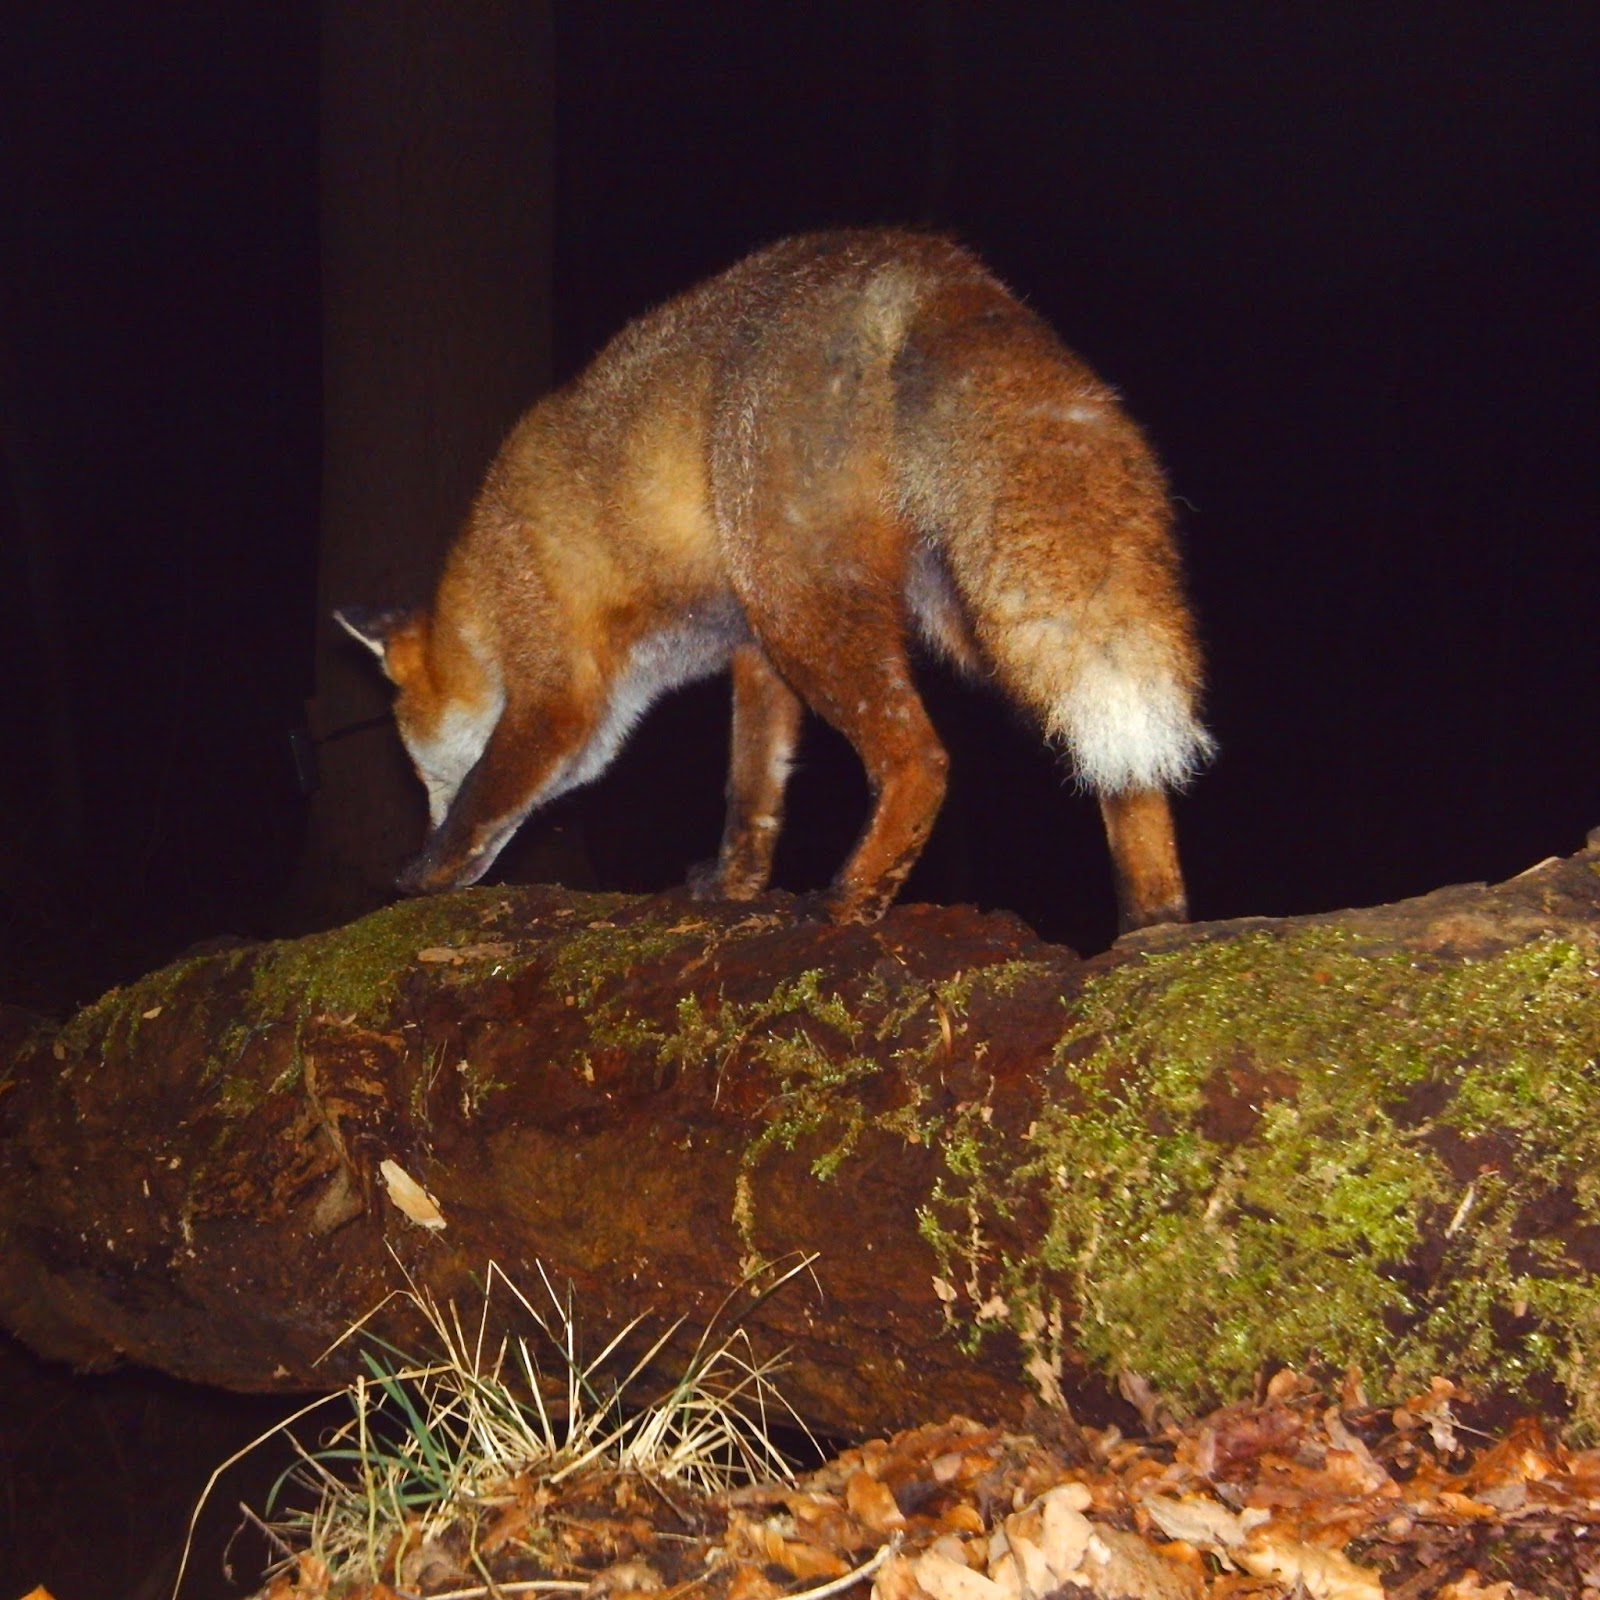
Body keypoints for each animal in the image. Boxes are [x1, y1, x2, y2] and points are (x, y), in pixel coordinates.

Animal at [336, 229, 1213, 930]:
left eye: (429, 776)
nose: (423, 830)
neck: (488, 589)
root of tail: (923, 266)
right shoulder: (751, 647)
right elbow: (752, 794)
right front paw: (735, 885)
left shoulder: (559, 680)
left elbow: (495, 791)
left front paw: (425, 872)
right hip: (976, 620)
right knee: (1123, 767)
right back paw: (1153, 919)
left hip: (808, 602)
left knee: (920, 758)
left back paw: (852, 900)